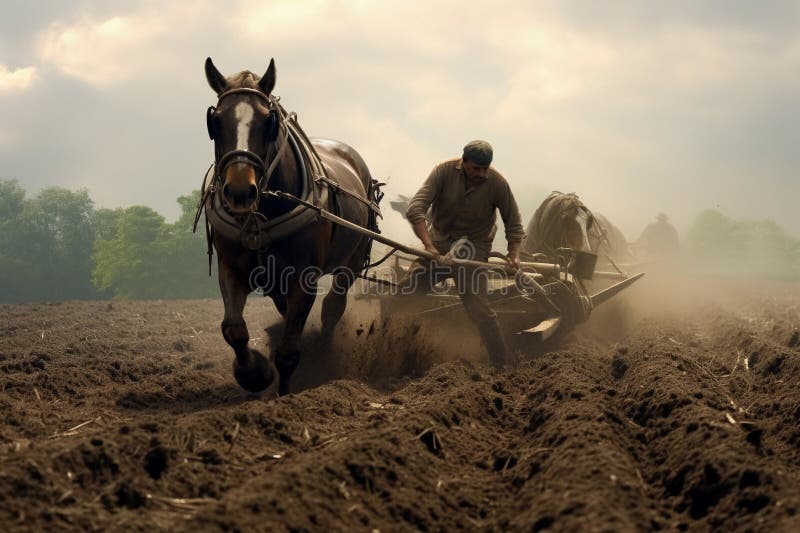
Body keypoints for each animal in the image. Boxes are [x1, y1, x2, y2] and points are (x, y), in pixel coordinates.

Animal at [200, 58, 381, 395]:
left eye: (268, 120)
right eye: (215, 122)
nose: (240, 191)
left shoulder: (304, 277)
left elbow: (288, 351)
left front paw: (284, 393)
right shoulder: (231, 267)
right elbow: (233, 328)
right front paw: (255, 374)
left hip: (350, 262)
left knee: (332, 307)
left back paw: (322, 355)